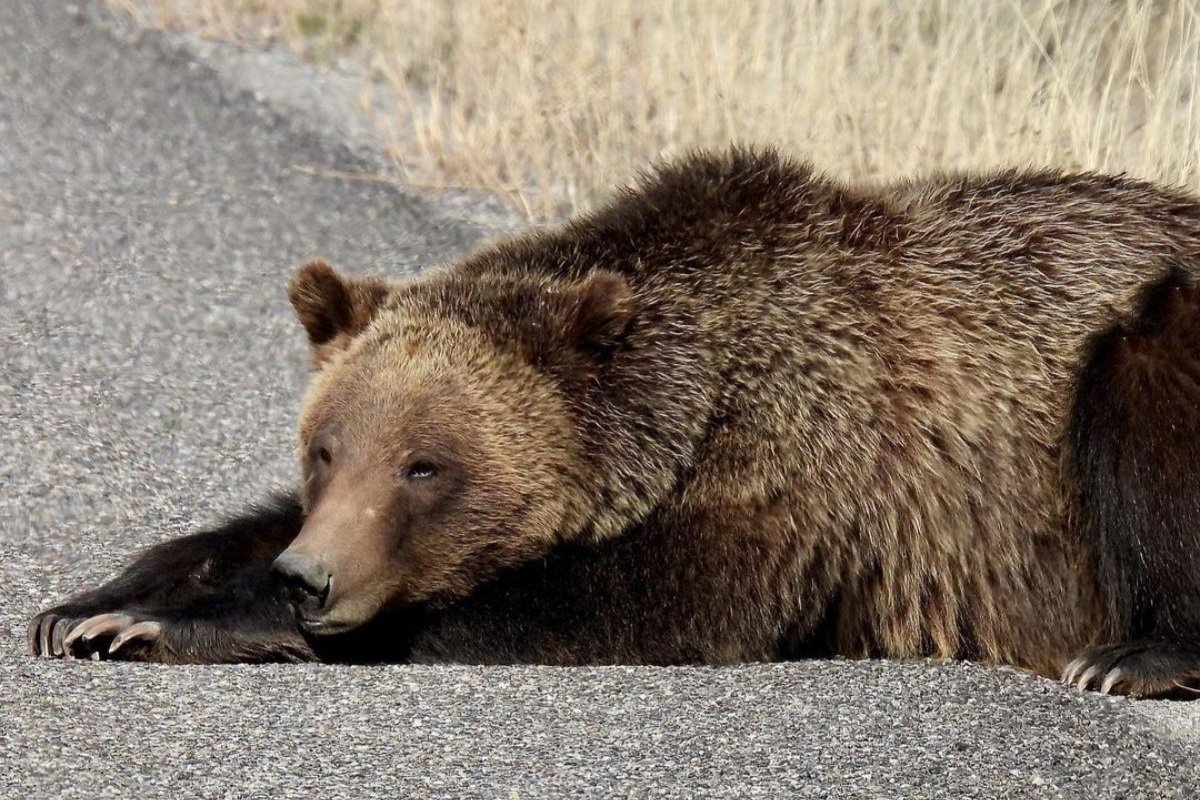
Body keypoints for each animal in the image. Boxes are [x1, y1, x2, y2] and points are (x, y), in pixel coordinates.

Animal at [27, 147, 1200, 698]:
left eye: (425, 466)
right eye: (325, 448)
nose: (312, 579)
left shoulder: (799, 473)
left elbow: (608, 602)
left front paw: (170, 625)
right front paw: (95, 601)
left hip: (1143, 333)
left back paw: (1130, 654)